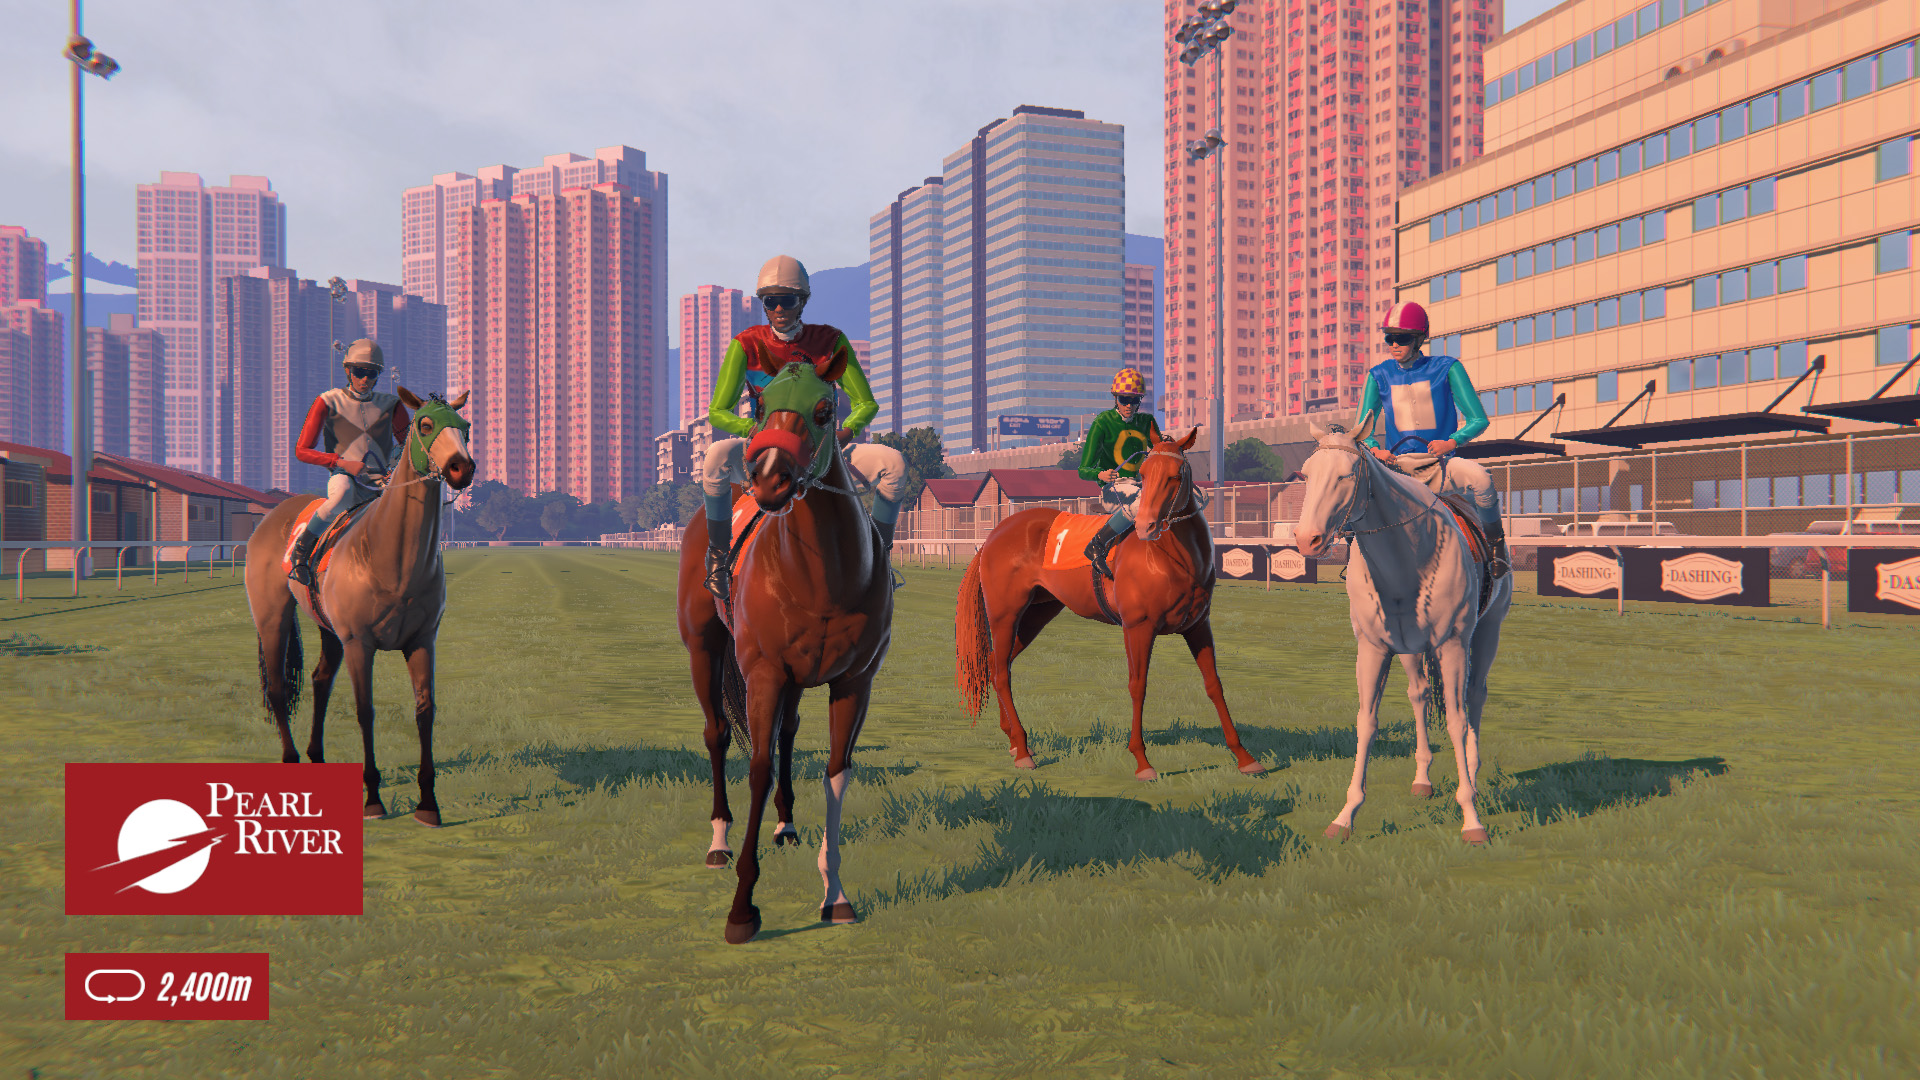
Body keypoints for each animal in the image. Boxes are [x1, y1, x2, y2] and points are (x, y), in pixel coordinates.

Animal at [244, 389, 474, 826]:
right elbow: (365, 710)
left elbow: (425, 710)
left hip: (327, 626)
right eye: (425, 425)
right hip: (272, 615)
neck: (390, 558)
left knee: (319, 680)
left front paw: (428, 804)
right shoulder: (358, 643)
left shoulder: (422, 641)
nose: (461, 468)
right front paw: (373, 799)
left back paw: (317, 759)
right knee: (279, 688)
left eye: (465, 427)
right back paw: (291, 759)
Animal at [675, 360, 892, 945]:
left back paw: (788, 825)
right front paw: (742, 909)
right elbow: (758, 766)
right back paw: (719, 841)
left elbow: (836, 771)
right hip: (704, 646)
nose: (768, 479)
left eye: (825, 410)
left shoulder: (855, 681)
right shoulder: (765, 672)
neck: (821, 577)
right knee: (717, 732)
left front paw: (835, 894)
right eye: (758, 405)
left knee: (789, 732)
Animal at [955, 428, 1264, 781]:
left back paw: (1013, 740)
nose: (1146, 526)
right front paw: (1142, 762)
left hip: (1037, 614)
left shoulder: (1198, 626)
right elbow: (1138, 686)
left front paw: (1244, 756)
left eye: (1176, 475)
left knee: (999, 665)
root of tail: (994, 534)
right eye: (1143, 474)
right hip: (1005, 614)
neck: (1173, 558)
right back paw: (1022, 751)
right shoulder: (1138, 627)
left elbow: (1214, 685)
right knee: (1001, 673)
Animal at [1291, 414, 1513, 845]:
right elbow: (1366, 721)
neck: (1408, 556)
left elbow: (1457, 720)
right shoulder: (1373, 647)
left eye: (1347, 474)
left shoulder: (1452, 644)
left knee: (1475, 696)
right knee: (1419, 693)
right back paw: (1423, 779)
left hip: (1488, 629)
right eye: (1306, 474)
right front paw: (1345, 816)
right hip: (1411, 646)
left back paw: (1474, 778)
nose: (1307, 540)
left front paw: (1471, 819)